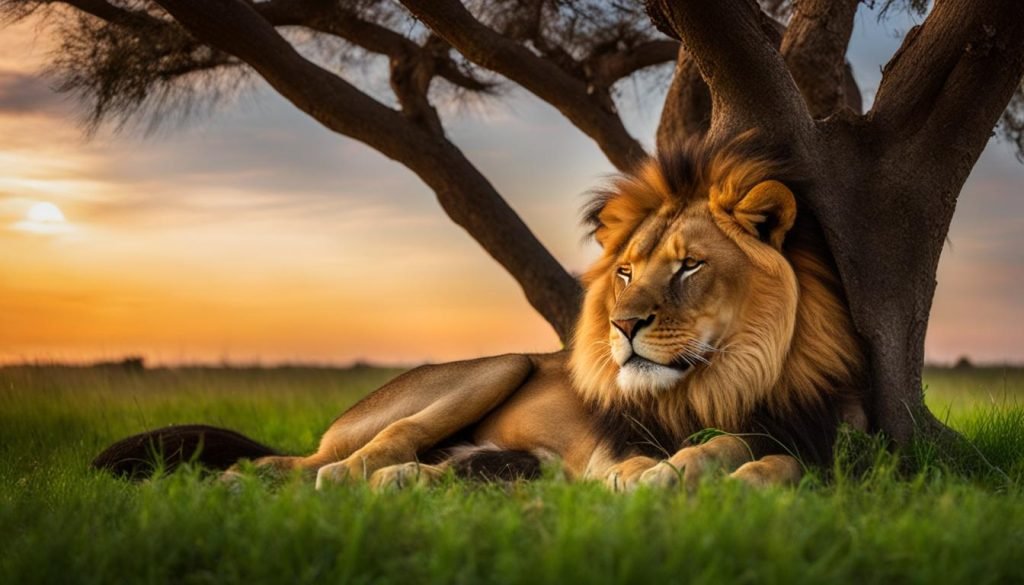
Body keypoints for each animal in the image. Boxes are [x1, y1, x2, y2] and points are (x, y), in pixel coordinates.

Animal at [93, 134, 865, 491]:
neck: (724, 380)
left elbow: (775, 460)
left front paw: (734, 478)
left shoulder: (817, 446)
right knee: (331, 460)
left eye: (689, 266)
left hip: (512, 453)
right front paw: (674, 476)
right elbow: (695, 451)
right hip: (495, 368)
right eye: (624, 272)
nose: (623, 326)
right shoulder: (616, 451)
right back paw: (274, 480)